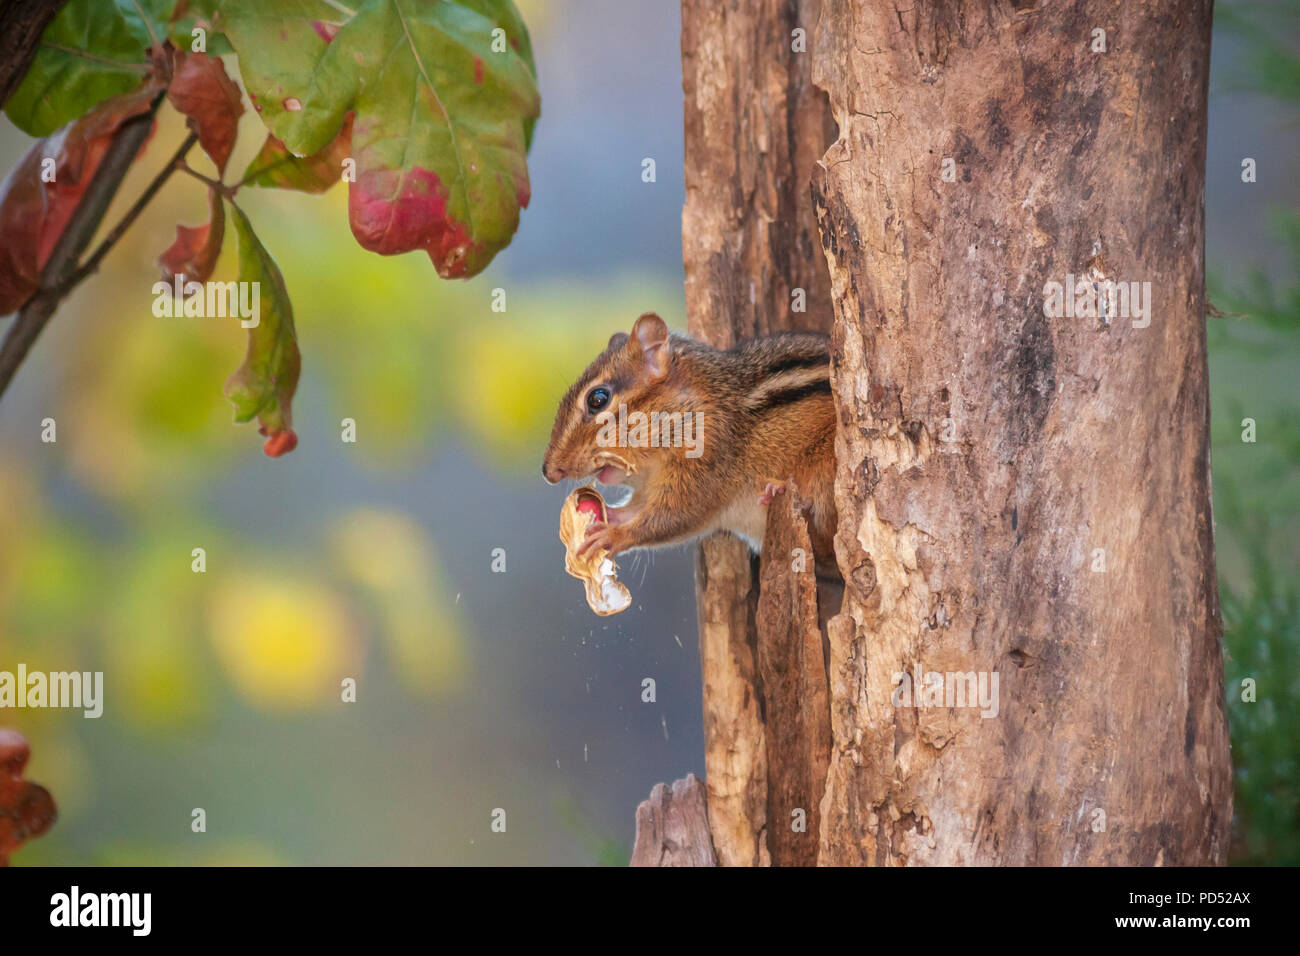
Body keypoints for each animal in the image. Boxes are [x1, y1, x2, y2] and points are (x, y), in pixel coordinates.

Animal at [542, 312, 838, 577]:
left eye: (598, 399)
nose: (549, 472)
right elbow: (637, 508)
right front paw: (611, 515)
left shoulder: (705, 463)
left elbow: (676, 516)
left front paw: (613, 535)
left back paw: (779, 490)